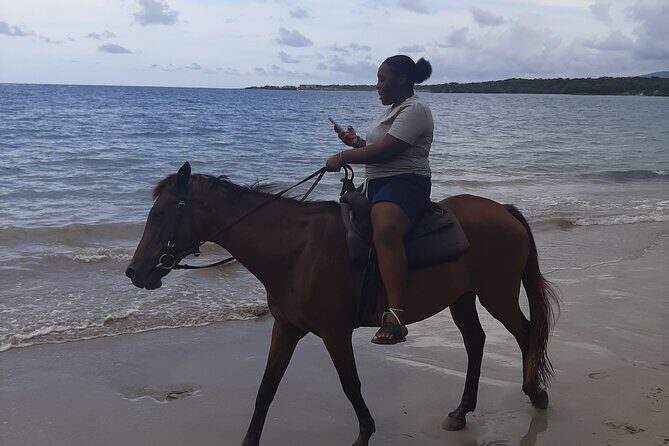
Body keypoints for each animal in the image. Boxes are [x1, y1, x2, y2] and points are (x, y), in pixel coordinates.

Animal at [125, 162, 559, 446]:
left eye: (159, 212)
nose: (133, 271)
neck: (296, 250)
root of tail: (504, 211)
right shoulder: (286, 328)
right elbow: (266, 389)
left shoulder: (334, 333)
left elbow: (350, 385)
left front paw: (365, 434)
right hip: (462, 298)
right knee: (475, 342)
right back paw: (462, 411)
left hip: (497, 294)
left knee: (525, 333)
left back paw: (535, 393)